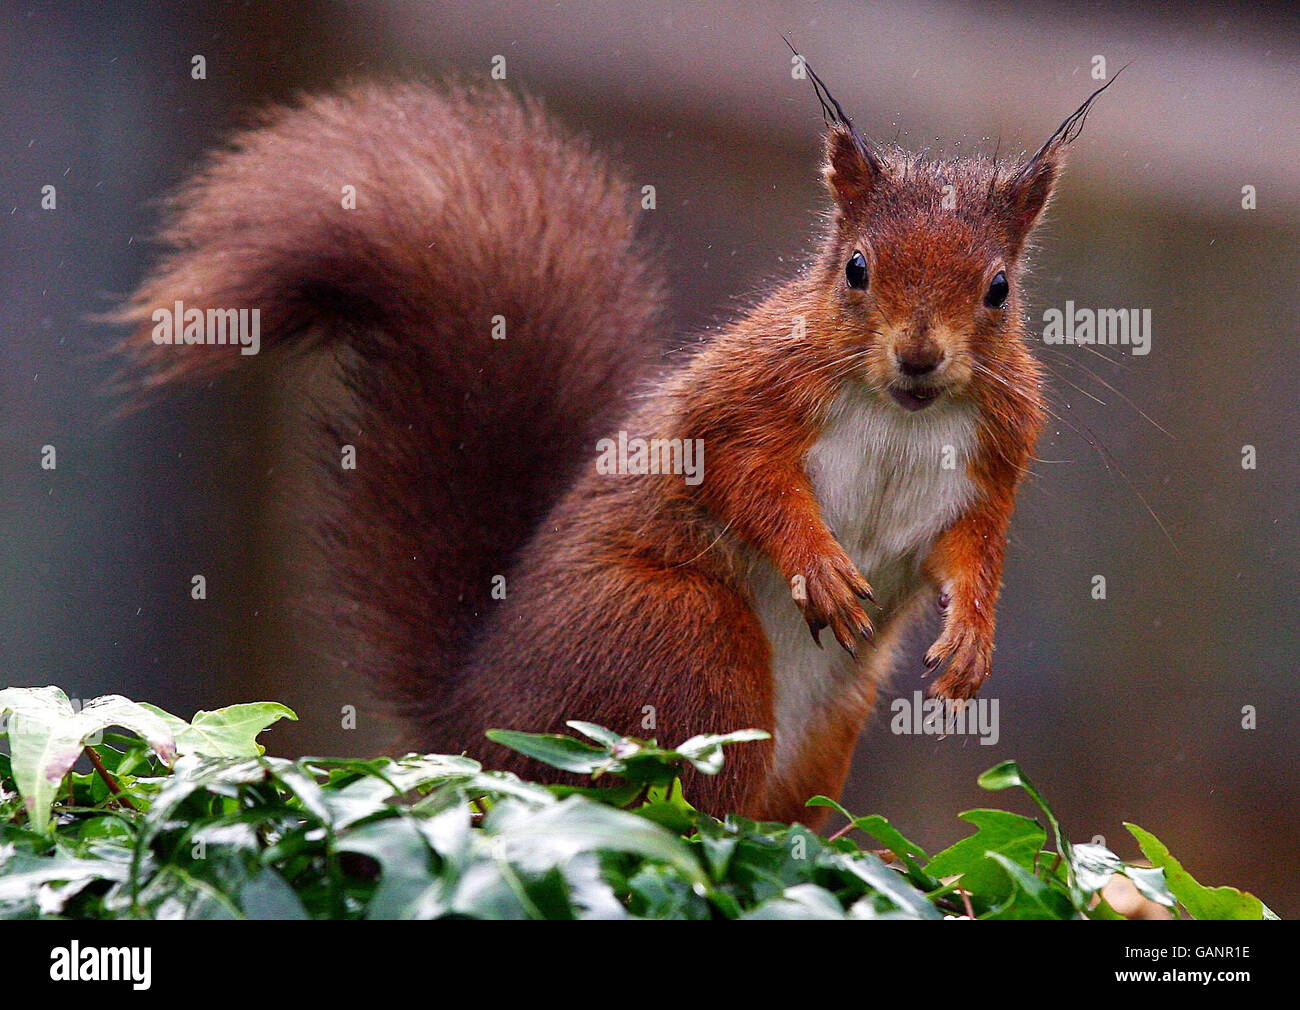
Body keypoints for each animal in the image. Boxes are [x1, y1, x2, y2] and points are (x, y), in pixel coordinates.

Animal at [115, 68, 1114, 826]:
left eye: (998, 289)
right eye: (856, 269)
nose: (918, 357)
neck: (902, 414)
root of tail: (470, 721)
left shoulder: (993, 458)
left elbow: (972, 550)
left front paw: (972, 640)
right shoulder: (743, 403)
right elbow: (747, 479)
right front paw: (820, 566)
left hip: (826, 726)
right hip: (678, 640)